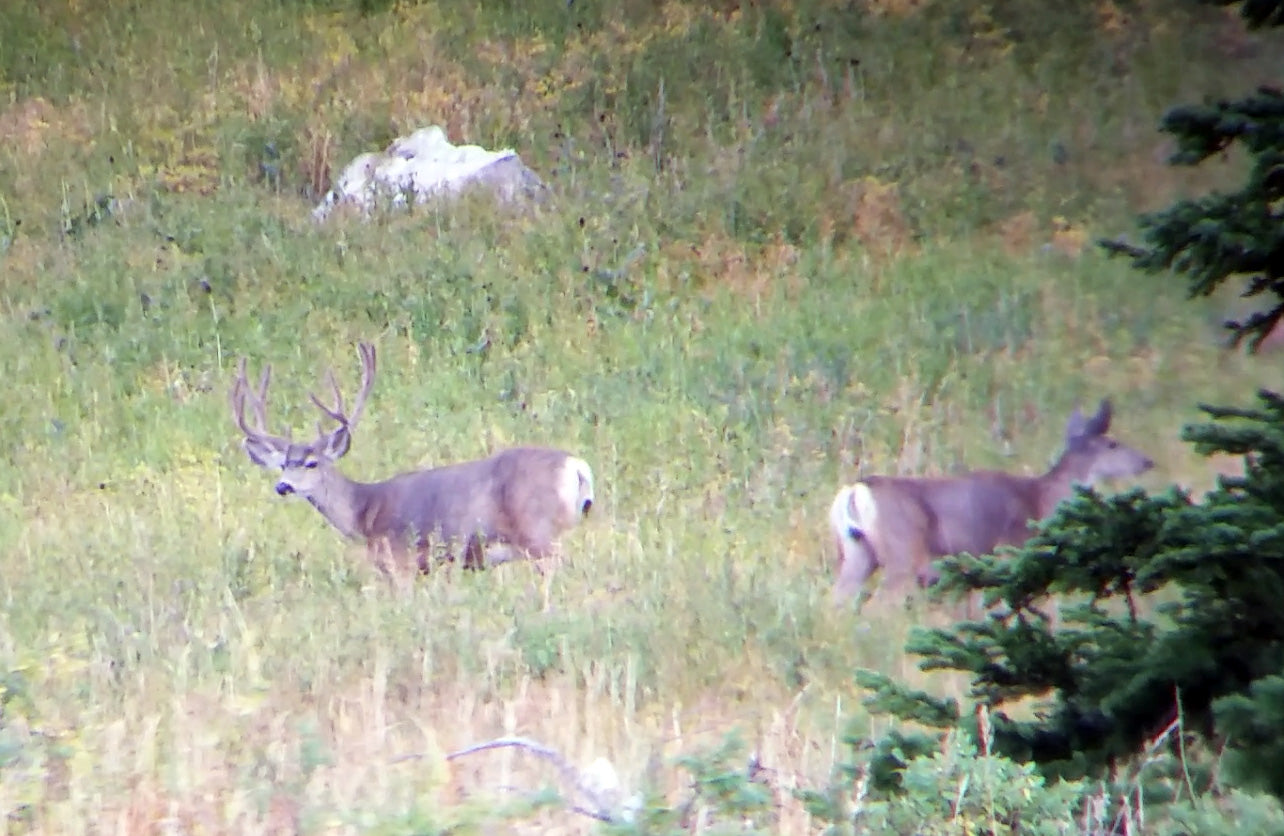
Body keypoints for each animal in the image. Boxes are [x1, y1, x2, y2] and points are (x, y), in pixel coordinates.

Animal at [230, 342, 595, 578]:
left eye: (311, 462)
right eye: (283, 464)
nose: (282, 486)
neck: (364, 513)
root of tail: (576, 466)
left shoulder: (400, 559)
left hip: (539, 532)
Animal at [829, 399, 1154, 607]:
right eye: (1113, 444)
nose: (1147, 461)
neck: (1041, 501)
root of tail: (856, 489)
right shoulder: (1010, 551)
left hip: (859, 553)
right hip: (903, 555)